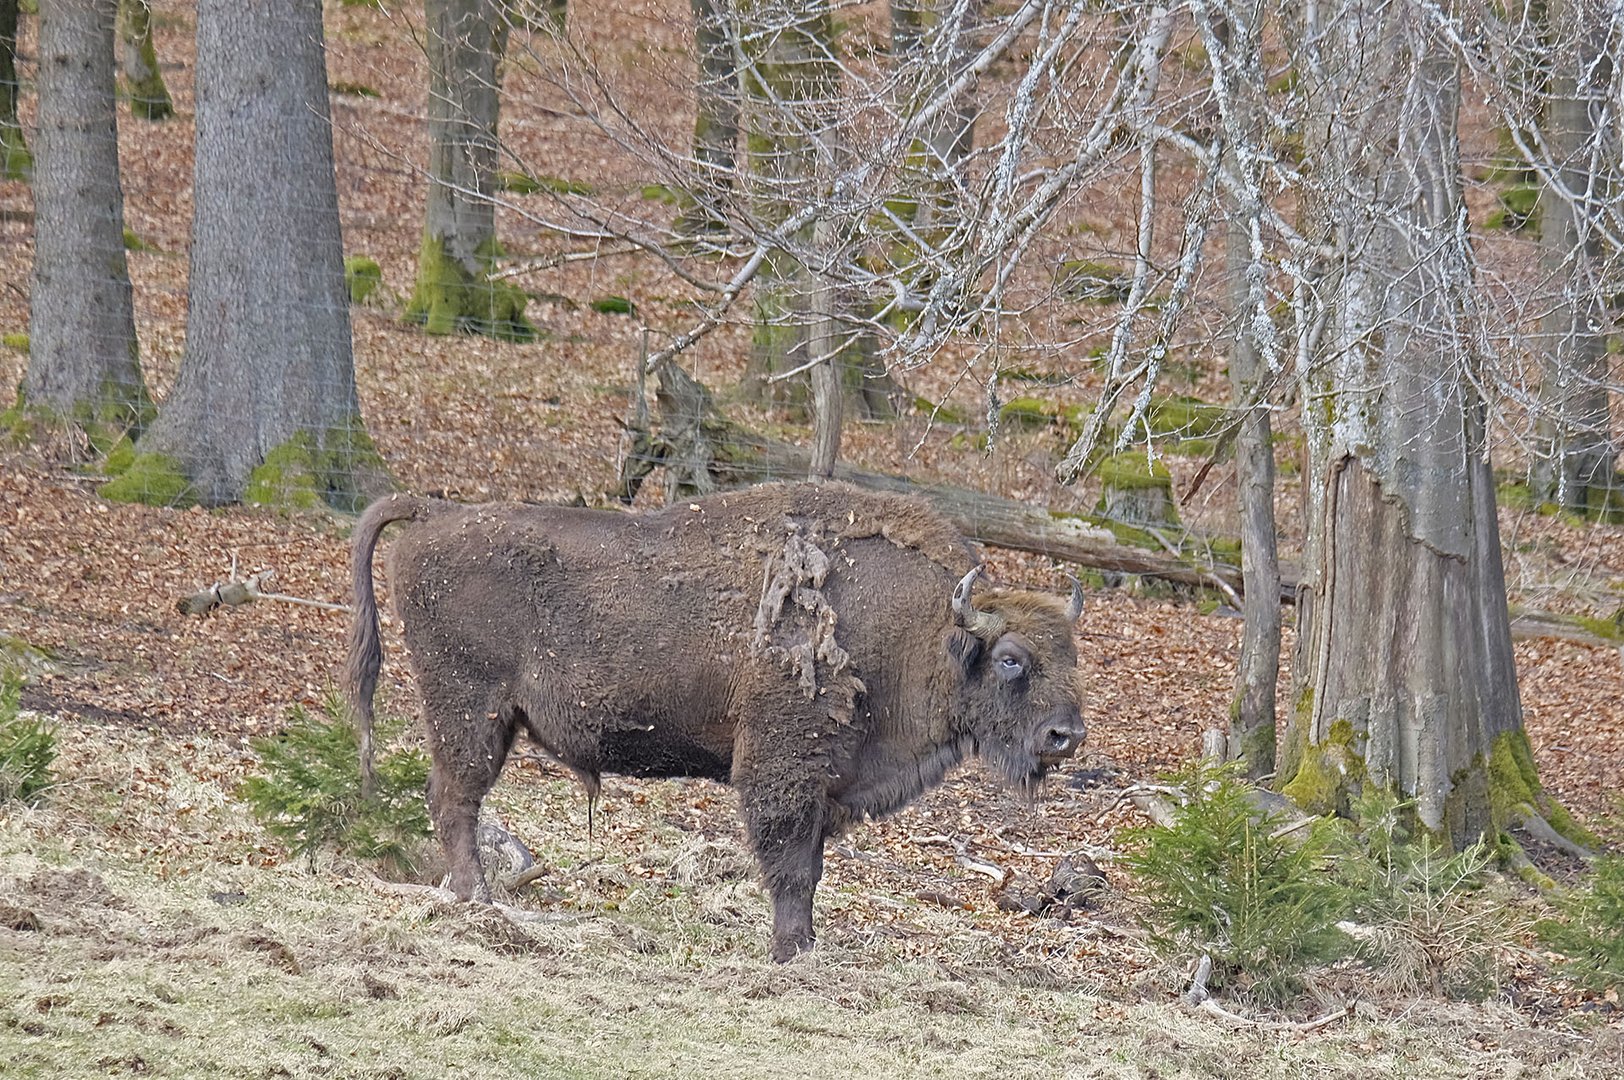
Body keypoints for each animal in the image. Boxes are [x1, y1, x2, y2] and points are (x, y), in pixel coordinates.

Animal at [347, 483, 1084, 954]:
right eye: (1012, 659)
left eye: (1072, 653)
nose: (1066, 736)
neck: (924, 632)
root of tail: (435, 513)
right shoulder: (782, 770)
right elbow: (789, 865)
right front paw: (788, 951)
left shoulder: (825, 789)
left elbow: (811, 867)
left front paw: (805, 945)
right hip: (470, 712)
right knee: (454, 800)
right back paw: (478, 902)